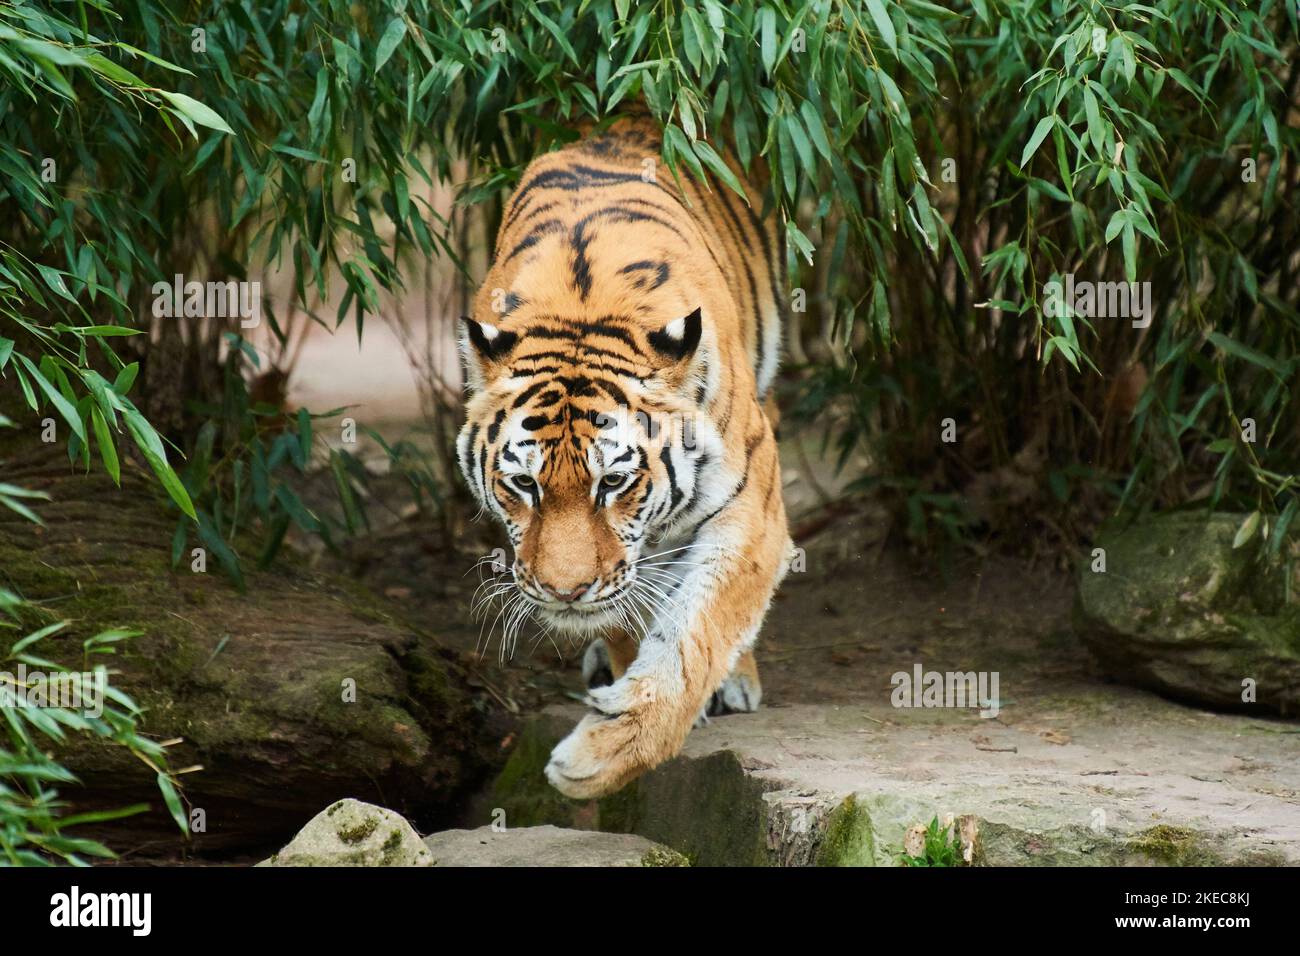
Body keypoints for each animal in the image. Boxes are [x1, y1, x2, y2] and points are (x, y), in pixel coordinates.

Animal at [457, 112, 791, 799]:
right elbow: (628, 617)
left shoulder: (752, 506)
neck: (581, 311)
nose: (565, 592)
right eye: (523, 485)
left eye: (613, 482)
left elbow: (698, 632)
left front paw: (598, 758)